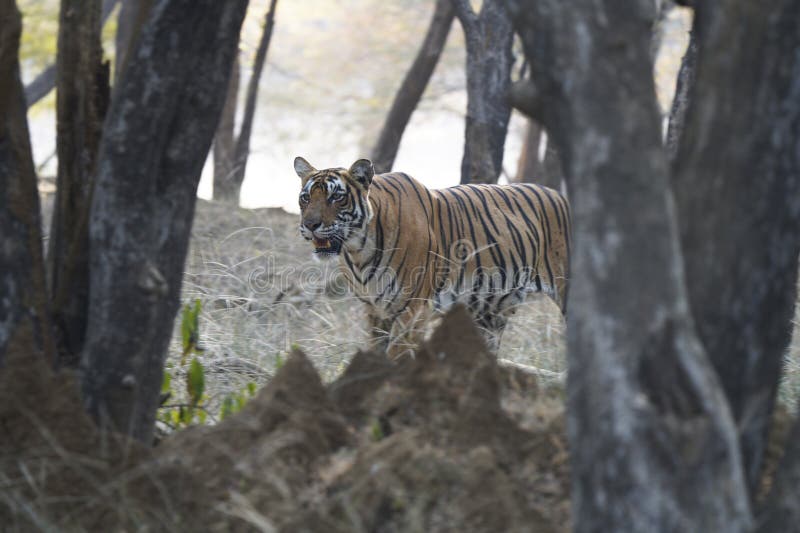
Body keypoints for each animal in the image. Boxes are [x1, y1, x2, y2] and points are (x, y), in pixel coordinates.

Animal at [293, 156, 570, 358]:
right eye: (305, 198)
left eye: (336, 197)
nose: (310, 225)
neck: (358, 249)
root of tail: (562, 195)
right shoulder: (375, 311)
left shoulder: (412, 310)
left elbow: (396, 358)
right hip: (491, 311)